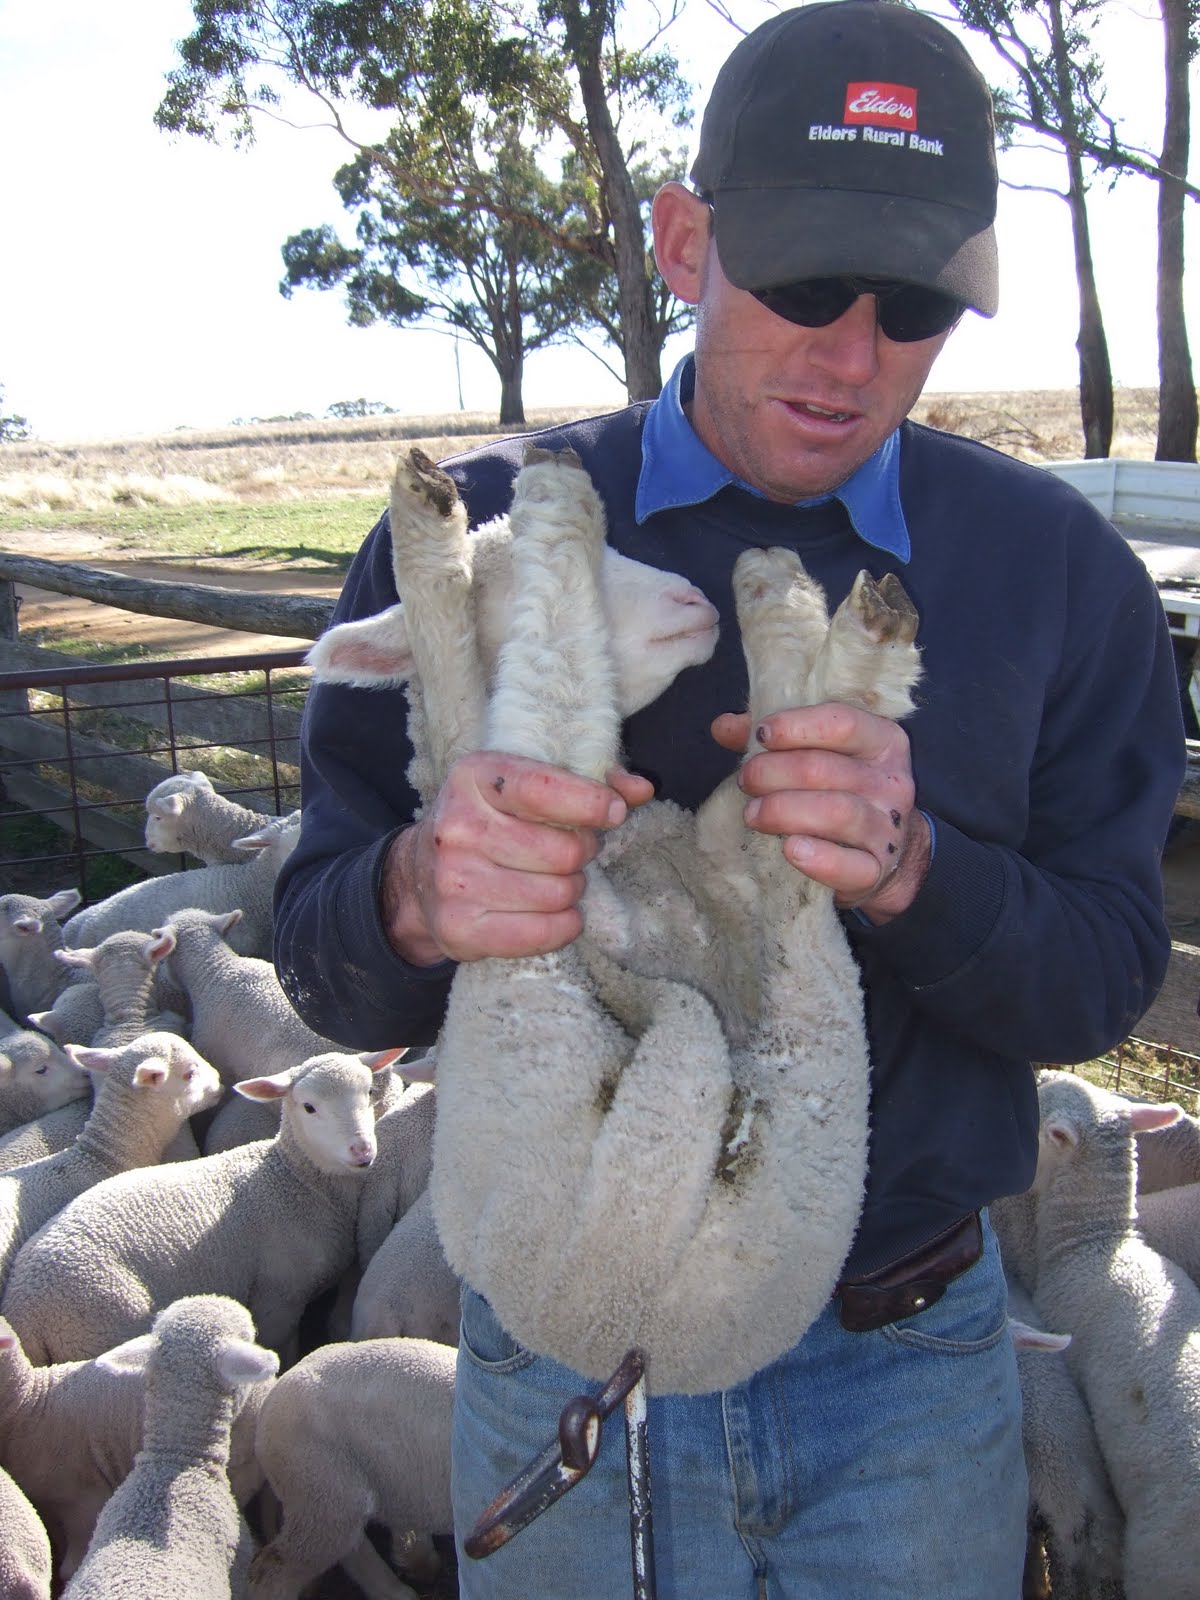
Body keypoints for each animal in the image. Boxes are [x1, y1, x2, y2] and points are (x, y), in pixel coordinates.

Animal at [316, 448, 920, 1394]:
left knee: (790, 789)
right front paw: (474, 529)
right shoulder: (551, 820)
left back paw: (797, 599)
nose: (690, 603)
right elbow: (495, 682)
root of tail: (647, 1346)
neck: (620, 862)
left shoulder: (702, 871)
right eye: (501, 580)